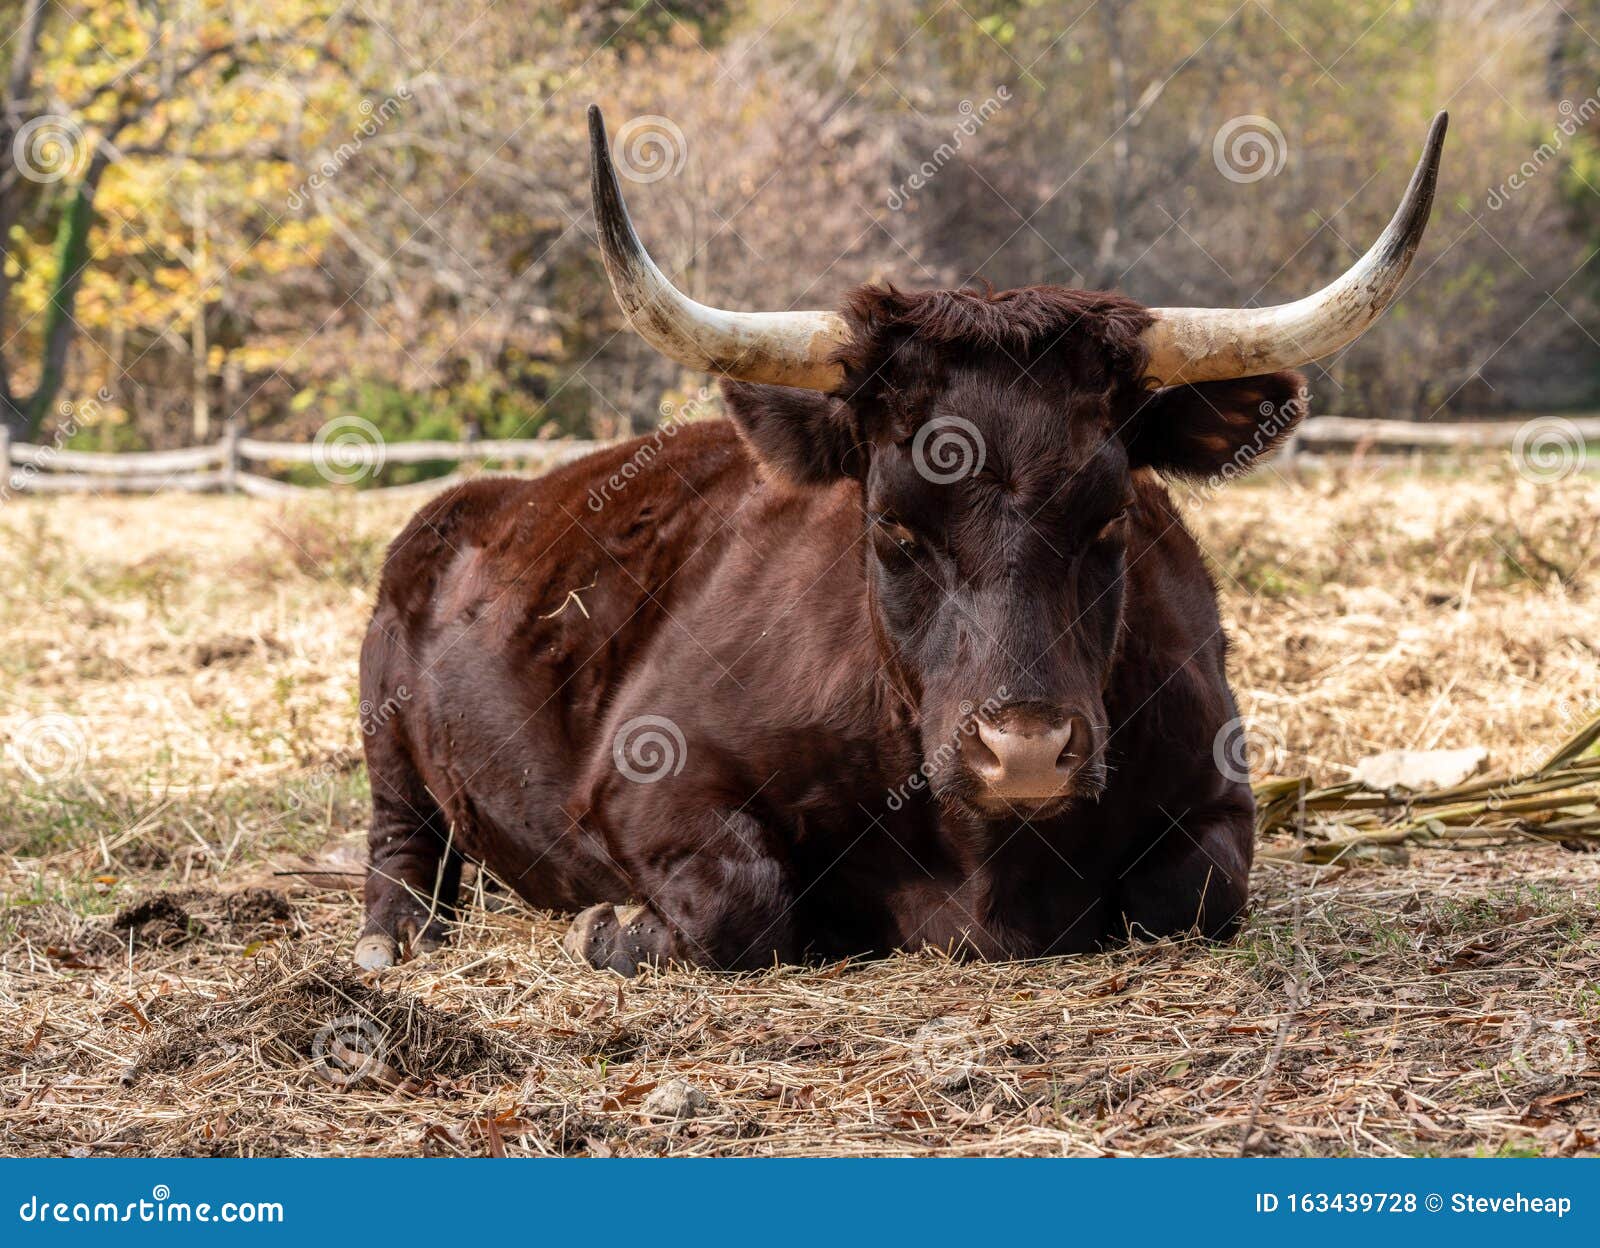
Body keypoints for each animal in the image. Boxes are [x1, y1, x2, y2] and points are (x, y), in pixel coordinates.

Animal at [352, 106, 1446, 973]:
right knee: (400, 840)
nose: (1024, 751)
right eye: (892, 526)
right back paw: (394, 936)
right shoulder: (645, 774)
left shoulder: (1220, 793)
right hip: (386, 725)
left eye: (1112, 516)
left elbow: (1192, 895)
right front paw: (614, 927)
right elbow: (742, 901)